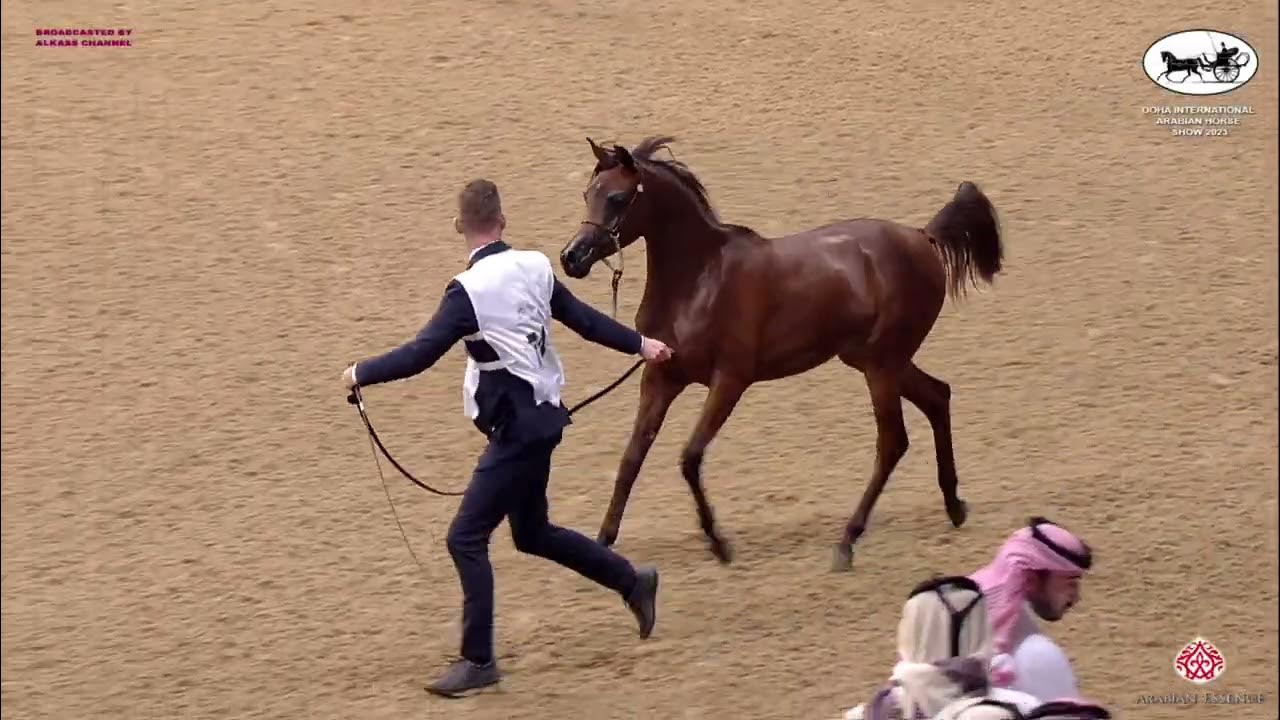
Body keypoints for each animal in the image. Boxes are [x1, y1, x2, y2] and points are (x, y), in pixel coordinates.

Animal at [558, 136, 1004, 571]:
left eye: (618, 198)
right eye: (586, 193)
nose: (571, 258)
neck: (700, 280)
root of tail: (922, 236)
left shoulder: (730, 380)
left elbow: (690, 457)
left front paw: (719, 543)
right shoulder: (662, 376)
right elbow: (632, 458)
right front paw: (603, 541)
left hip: (881, 366)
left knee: (893, 442)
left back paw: (847, 542)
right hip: (877, 360)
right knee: (937, 397)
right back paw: (954, 506)